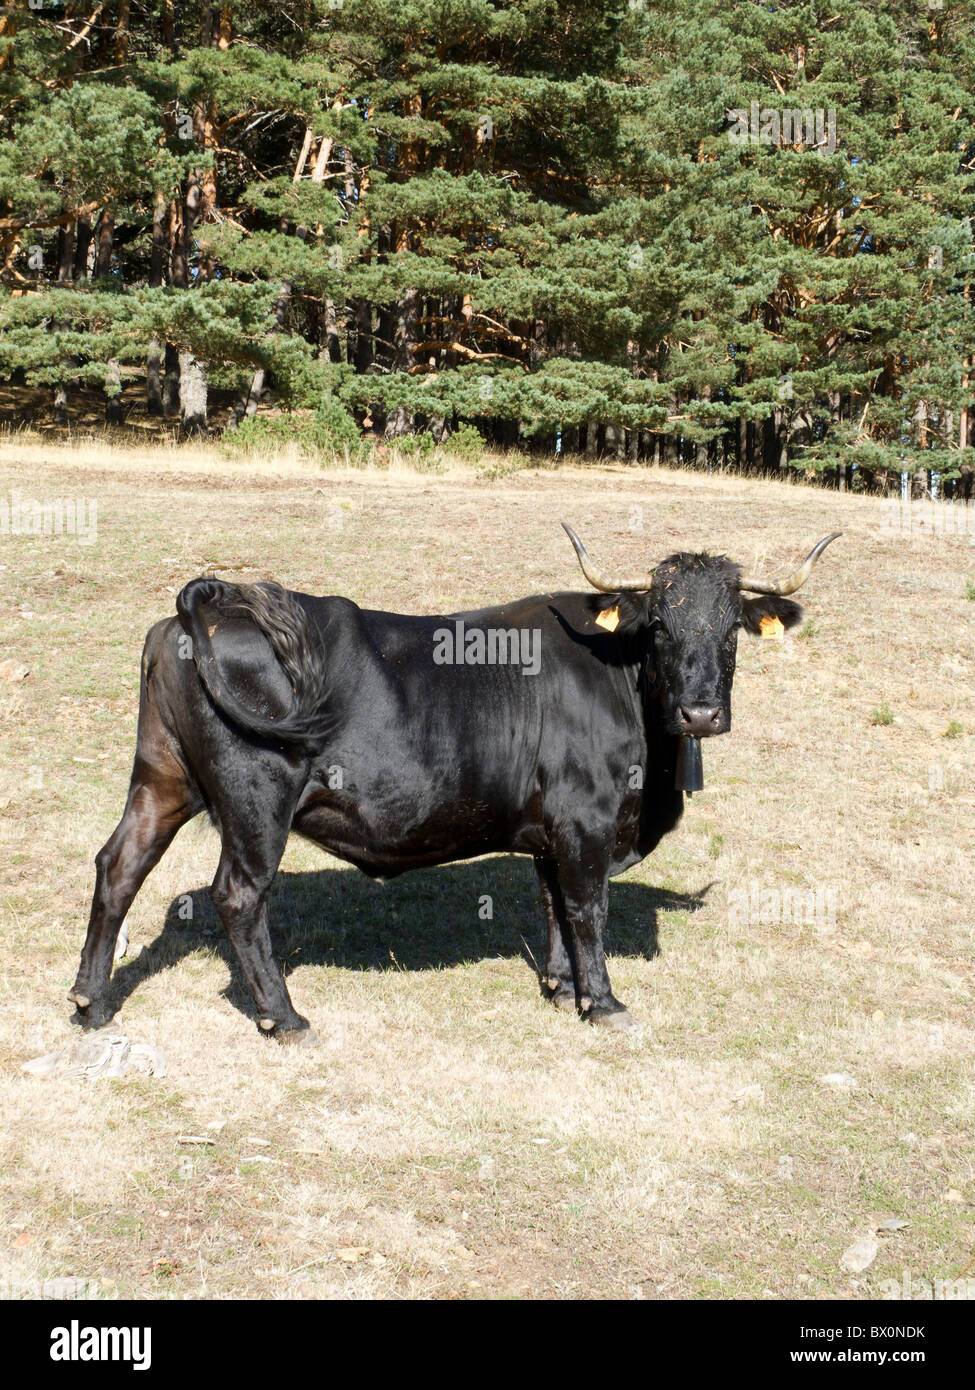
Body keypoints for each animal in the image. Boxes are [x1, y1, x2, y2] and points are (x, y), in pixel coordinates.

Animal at [69, 524, 840, 1040]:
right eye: (659, 627)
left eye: (731, 630)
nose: (701, 711)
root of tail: (213, 600)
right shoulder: (585, 818)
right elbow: (587, 907)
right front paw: (605, 1003)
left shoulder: (550, 830)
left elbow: (553, 904)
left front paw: (562, 988)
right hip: (257, 800)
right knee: (237, 895)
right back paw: (283, 1017)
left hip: (162, 780)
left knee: (119, 866)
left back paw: (90, 1002)